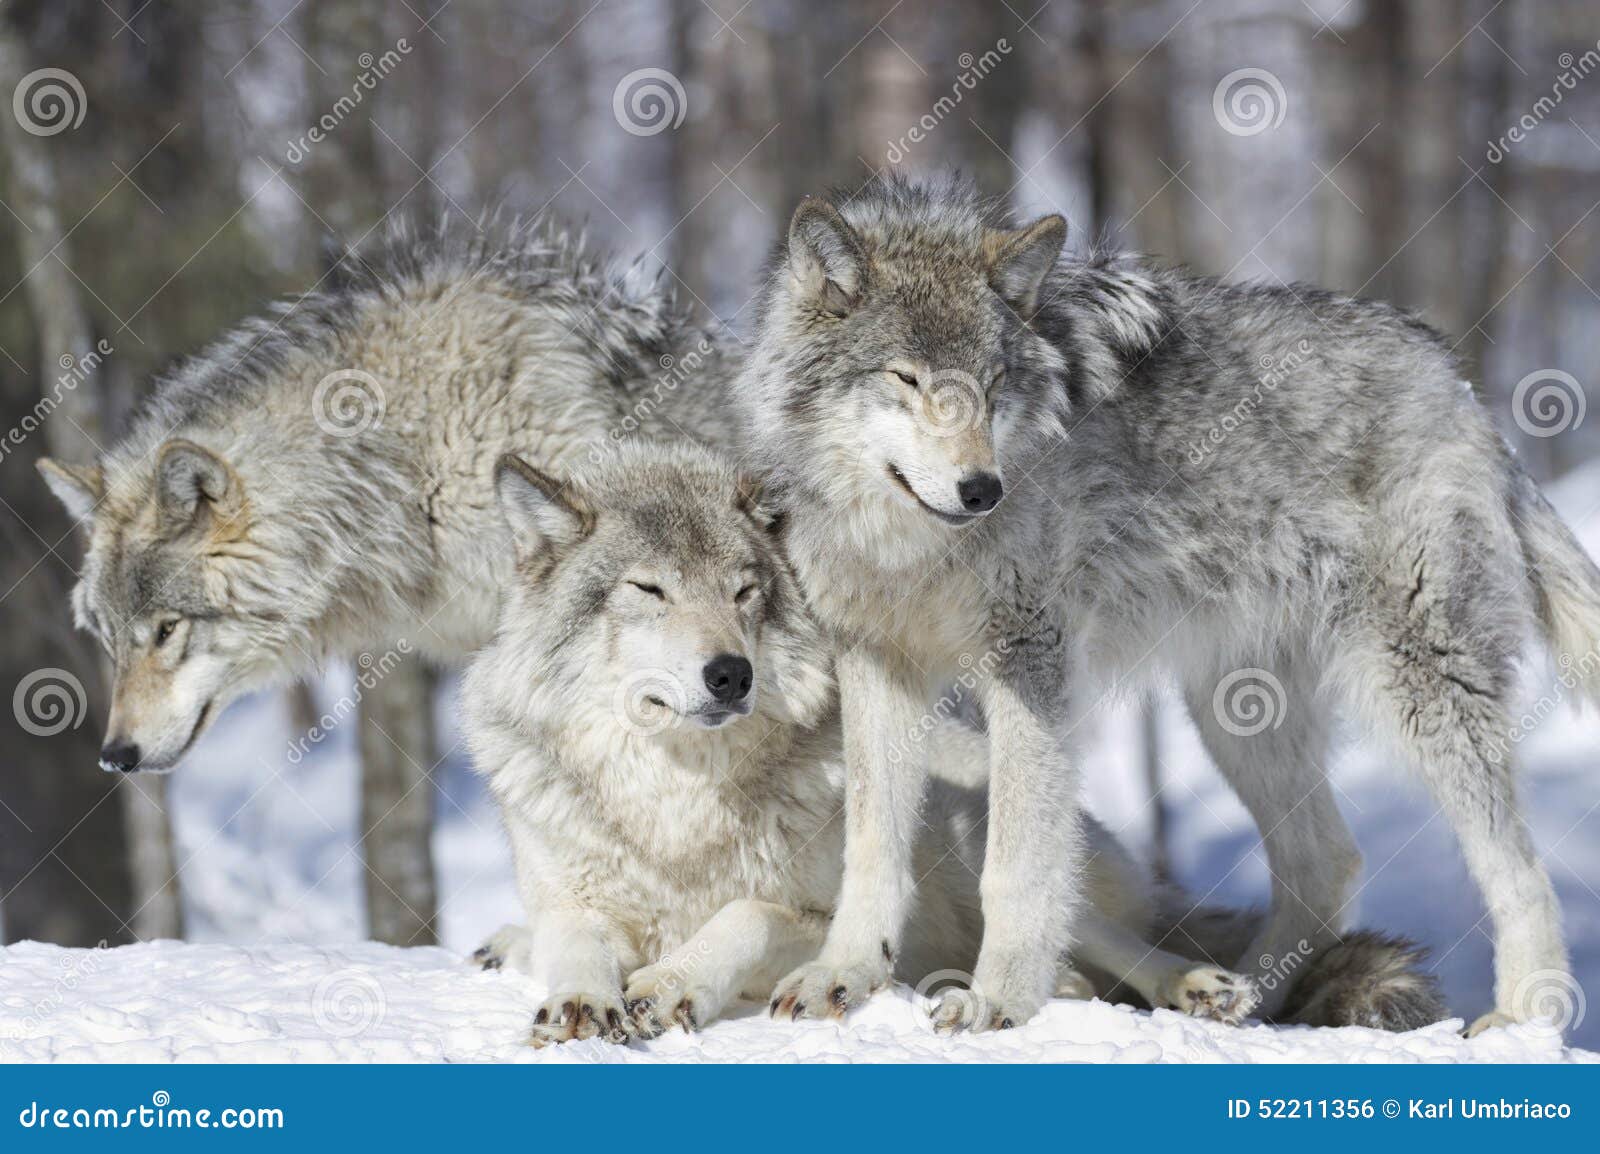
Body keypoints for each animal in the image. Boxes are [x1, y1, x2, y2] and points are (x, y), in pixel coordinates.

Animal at [463, 441, 1443, 1045]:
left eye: (745, 592)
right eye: (649, 590)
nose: (730, 675)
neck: (677, 804)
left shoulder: (819, 915)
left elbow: (742, 914)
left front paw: (669, 983)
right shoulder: (571, 901)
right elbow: (575, 945)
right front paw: (581, 999)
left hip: (981, 842)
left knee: (1115, 952)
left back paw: (1184, 987)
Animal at [741, 173, 1594, 1035]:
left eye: (992, 386)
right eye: (908, 380)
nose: (983, 489)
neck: (908, 545)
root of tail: (1458, 379)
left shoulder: (1031, 663)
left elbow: (1015, 865)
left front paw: (1000, 1001)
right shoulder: (877, 663)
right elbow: (872, 849)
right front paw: (844, 975)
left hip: (1417, 689)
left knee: (1521, 868)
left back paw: (1522, 1018)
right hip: (1237, 713)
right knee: (1328, 861)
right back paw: (1239, 1000)